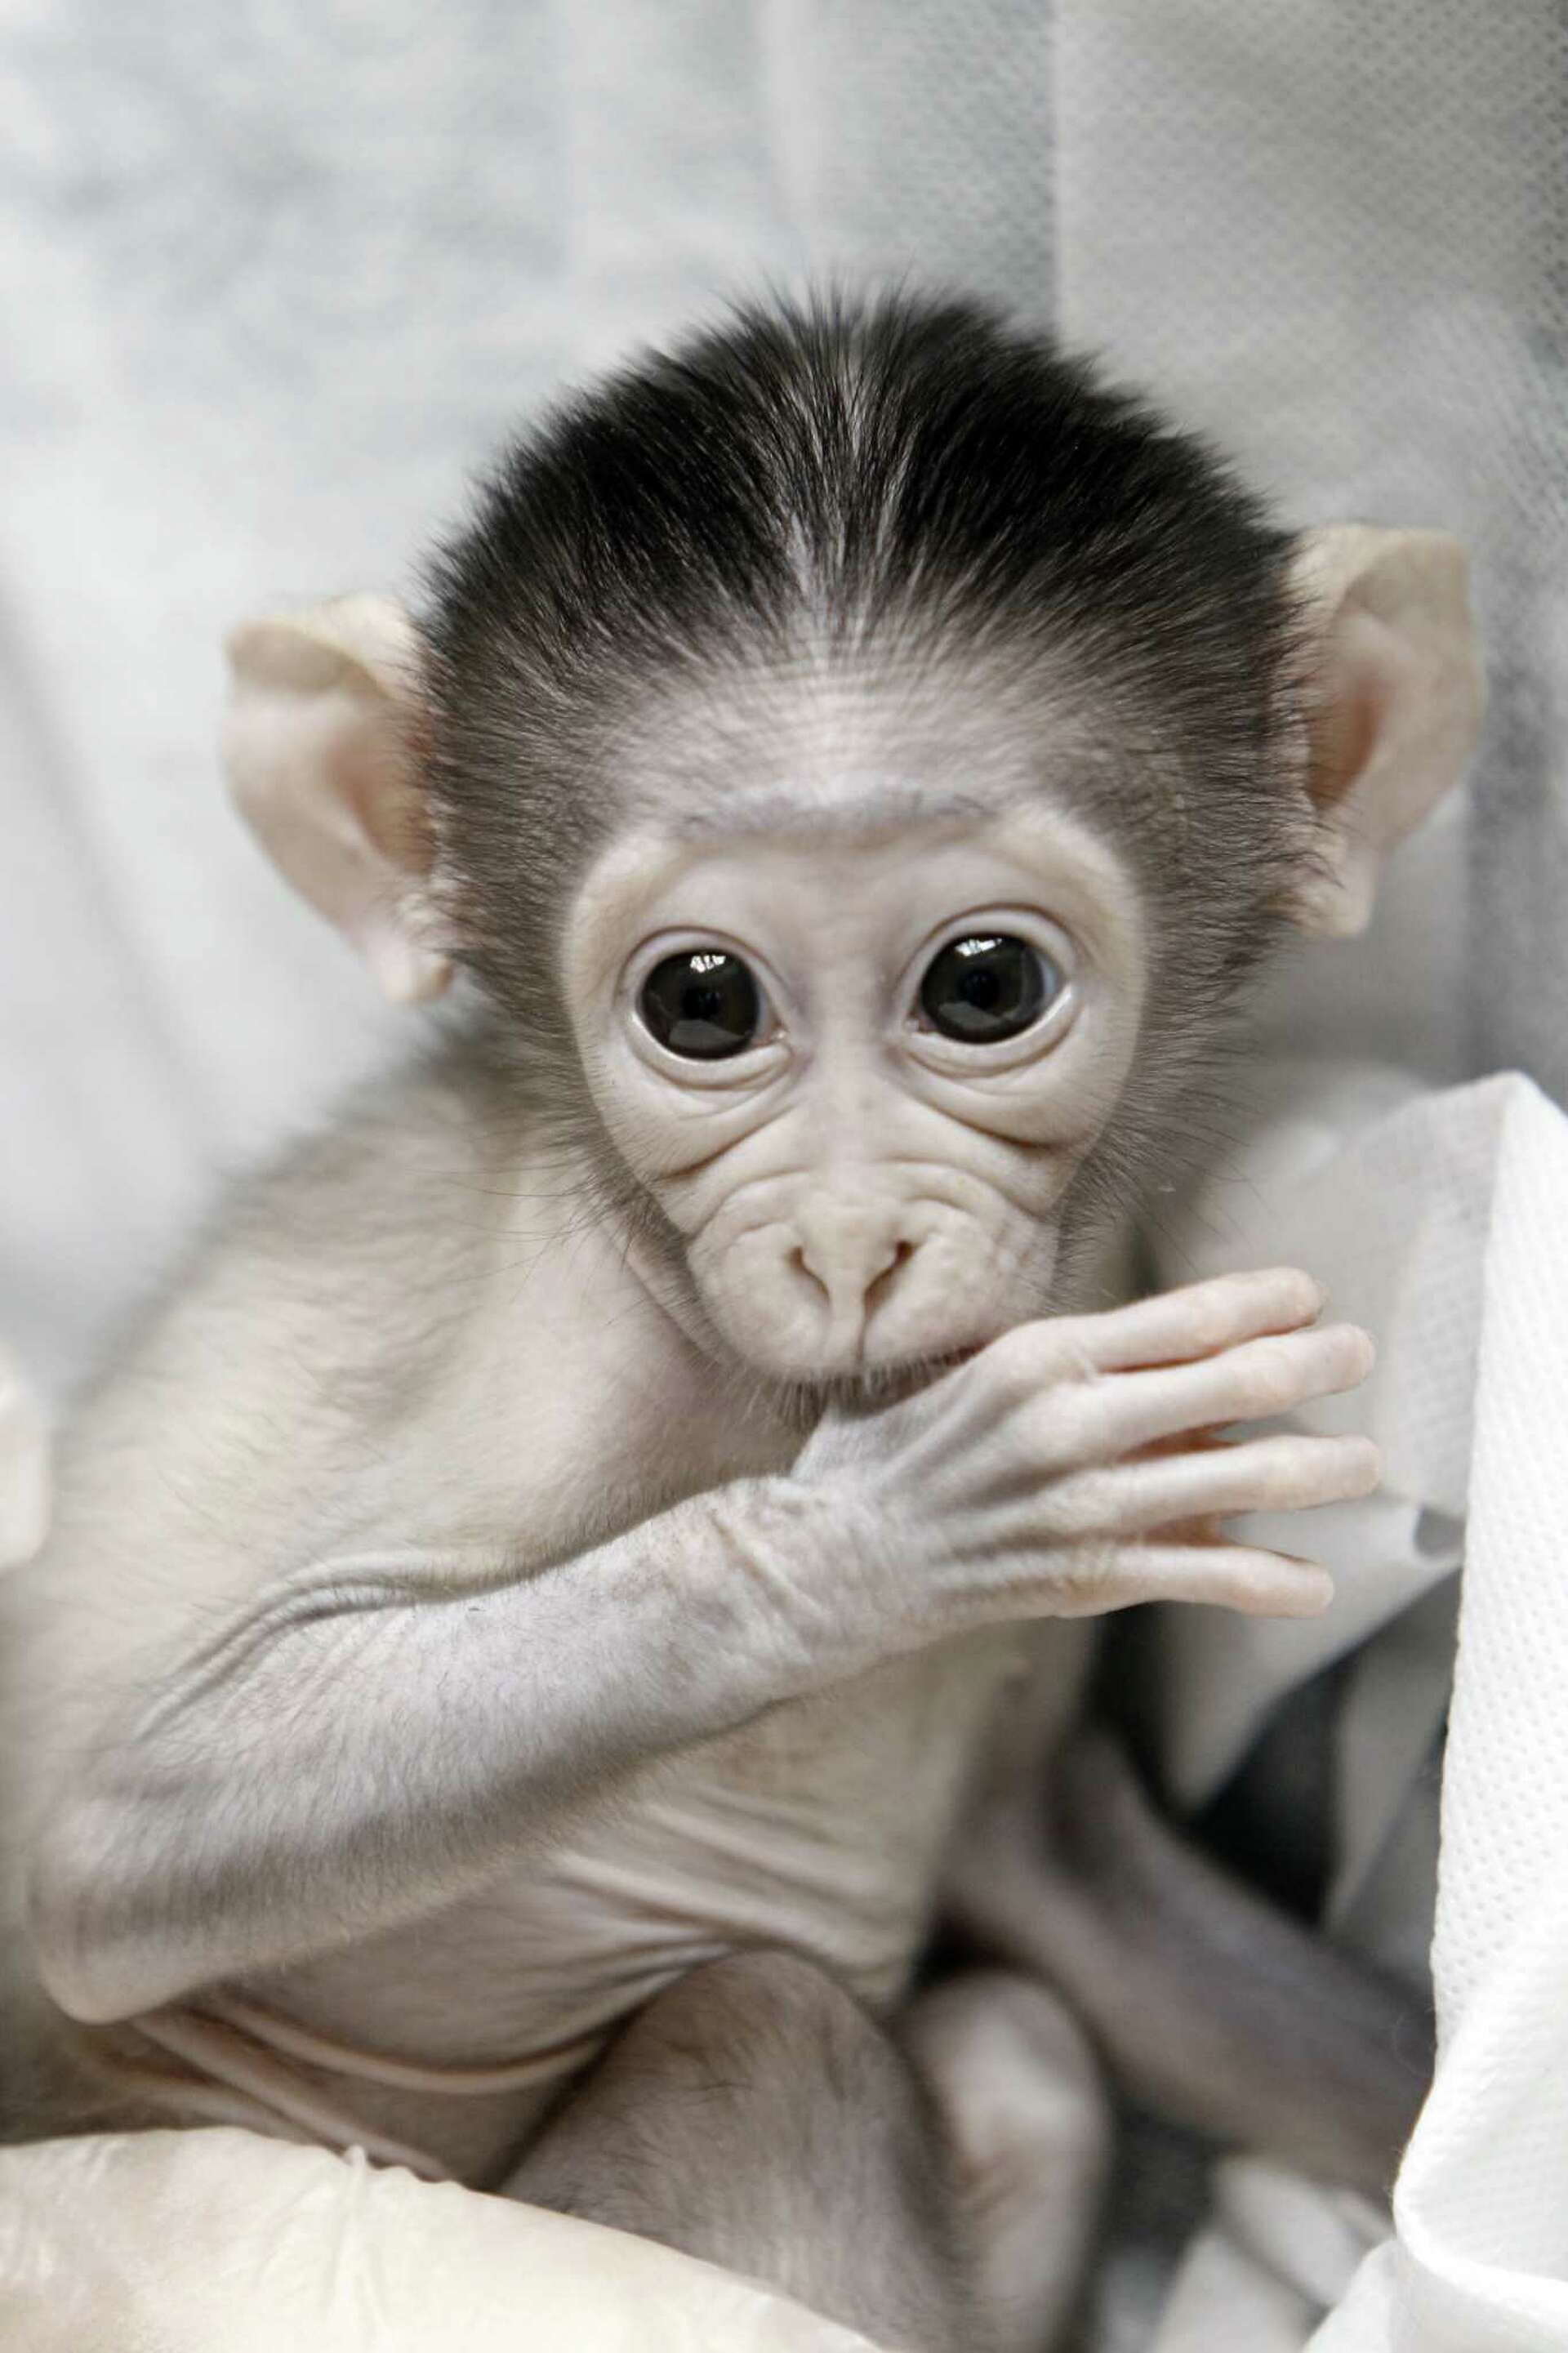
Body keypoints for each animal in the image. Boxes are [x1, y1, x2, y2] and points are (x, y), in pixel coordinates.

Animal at [0, 294, 1481, 2353]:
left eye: (985, 984)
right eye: (700, 1003)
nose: (852, 1240)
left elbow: (1067, 1890)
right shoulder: (559, 1350)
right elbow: (105, 1852)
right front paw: (893, 1529)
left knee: (1023, 2049)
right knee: (766, 2031)